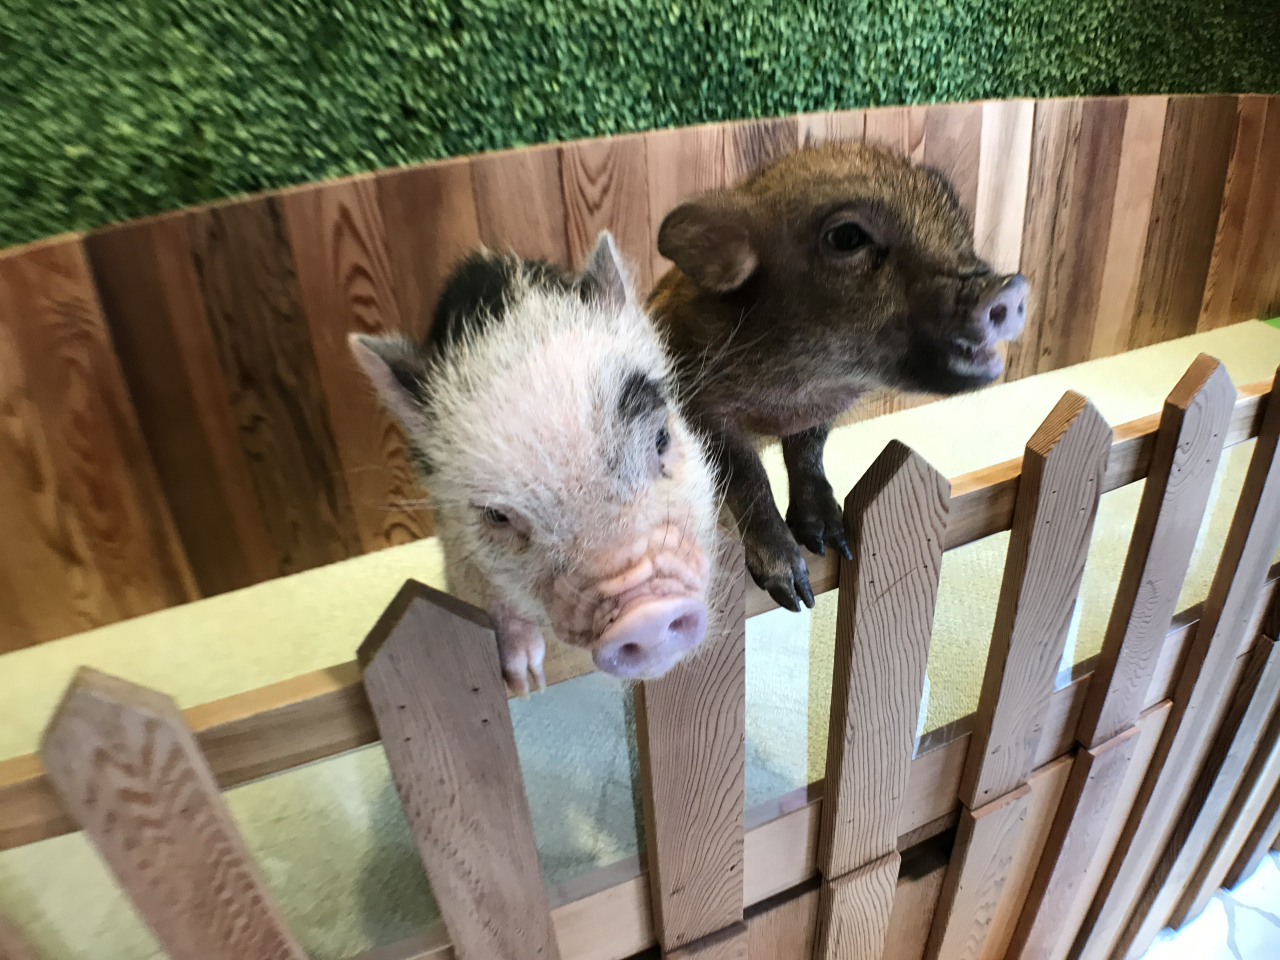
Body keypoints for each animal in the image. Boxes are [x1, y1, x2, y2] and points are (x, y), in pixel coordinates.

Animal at [649, 141, 1028, 611]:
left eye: (954, 218)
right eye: (847, 238)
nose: (1009, 286)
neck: (799, 388)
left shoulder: (817, 416)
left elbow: (809, 456)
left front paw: (833, 542)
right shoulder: (699, 408)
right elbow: (748, 479)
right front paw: (796, 595)